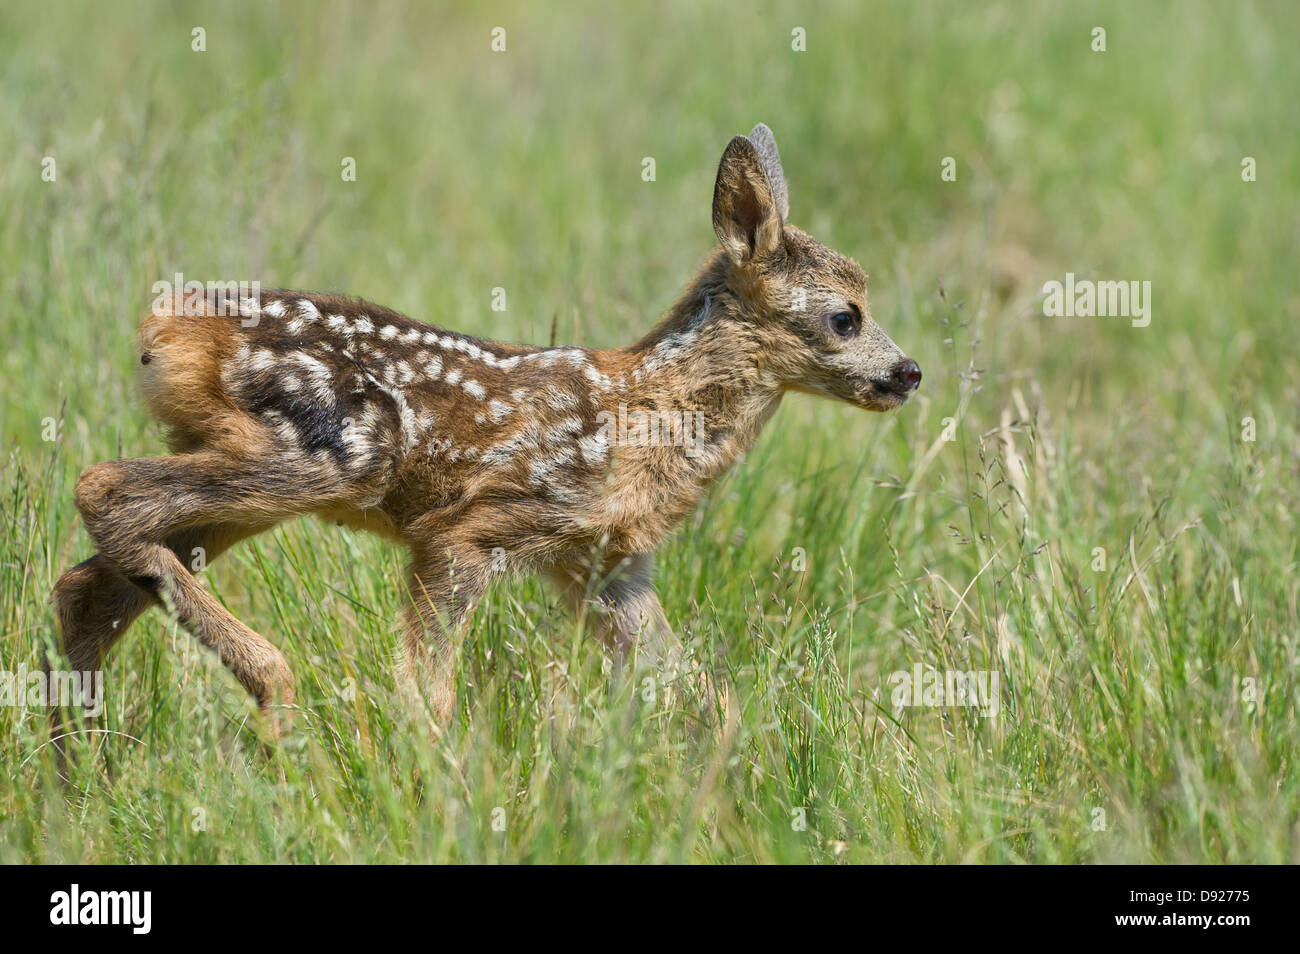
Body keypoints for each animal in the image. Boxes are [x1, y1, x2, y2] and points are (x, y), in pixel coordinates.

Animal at [48, 123, 921, 759]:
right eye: (845, 315)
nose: (909, 372)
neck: (645, 415)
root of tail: (169, 329)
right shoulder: (468, 529)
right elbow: (423, 693)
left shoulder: (608, 569)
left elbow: (706, 696)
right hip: (334, 449)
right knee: (105, 489)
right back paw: (272, 688)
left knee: (86, 585)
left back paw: (77, 777)